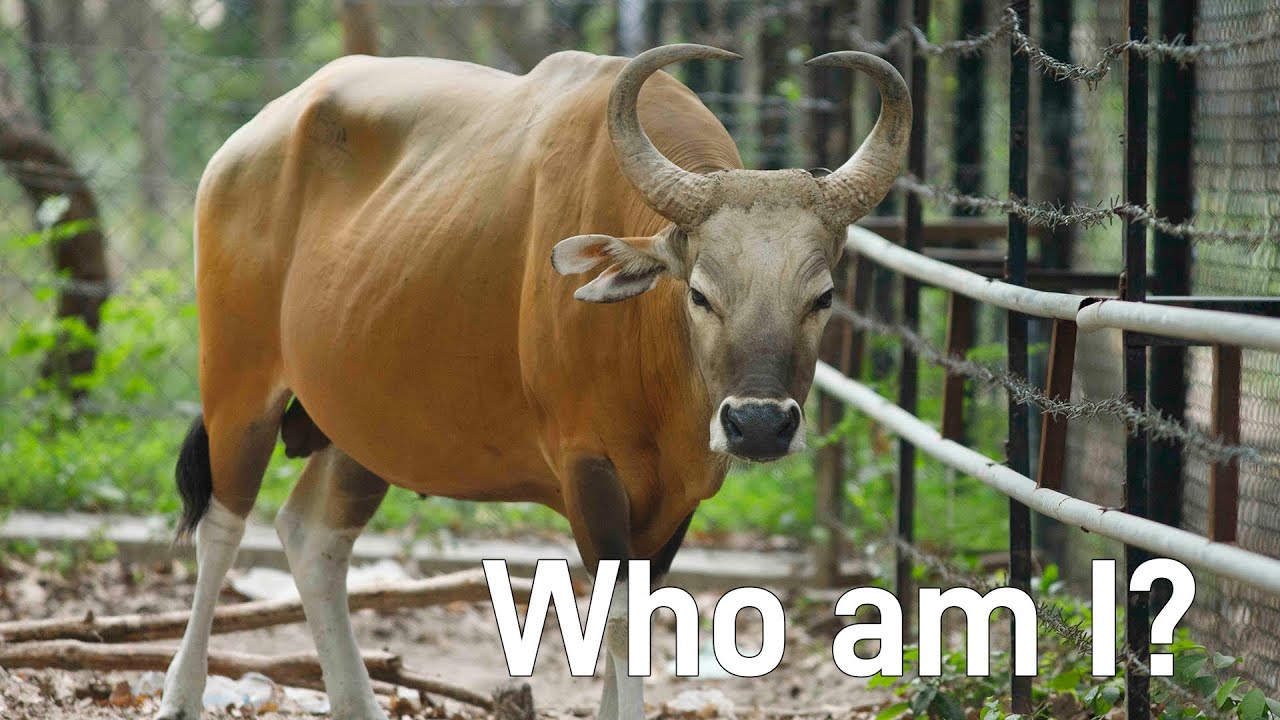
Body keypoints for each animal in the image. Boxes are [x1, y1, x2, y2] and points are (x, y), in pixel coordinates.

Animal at [156, 44, 909, 720]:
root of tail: (244, 147)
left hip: (364, 429)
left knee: (312, 535)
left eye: (822, 297)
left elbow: (643, 618)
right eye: (700, 294)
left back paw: (356, 702)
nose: (758, 425)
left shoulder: (678, 494)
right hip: (239, 387)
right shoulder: (588, 470)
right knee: (221, 528)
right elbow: (617, 619)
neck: (648, 354)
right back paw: (181, 695)